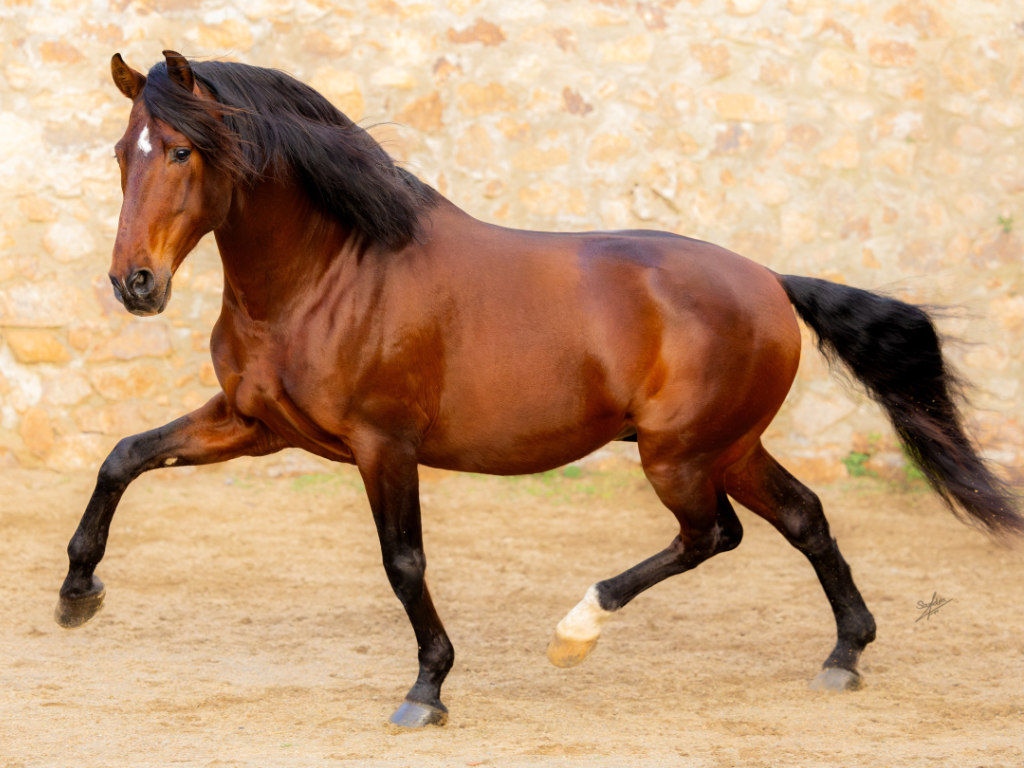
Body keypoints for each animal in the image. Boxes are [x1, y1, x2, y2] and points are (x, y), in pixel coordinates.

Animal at [56, 50, 1022, 728]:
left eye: (182, 150)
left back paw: (577, 630)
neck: (328, 275)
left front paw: (427, 690)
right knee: (804, 518)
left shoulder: (383, 444)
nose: (135, 284)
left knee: (715, 534)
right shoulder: (255, 424)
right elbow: (123, 457)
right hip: (730, 445)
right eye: (120, 154)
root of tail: (770, 283)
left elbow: (403, 563)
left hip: (680, 454)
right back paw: (845, 656)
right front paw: (76, 594)